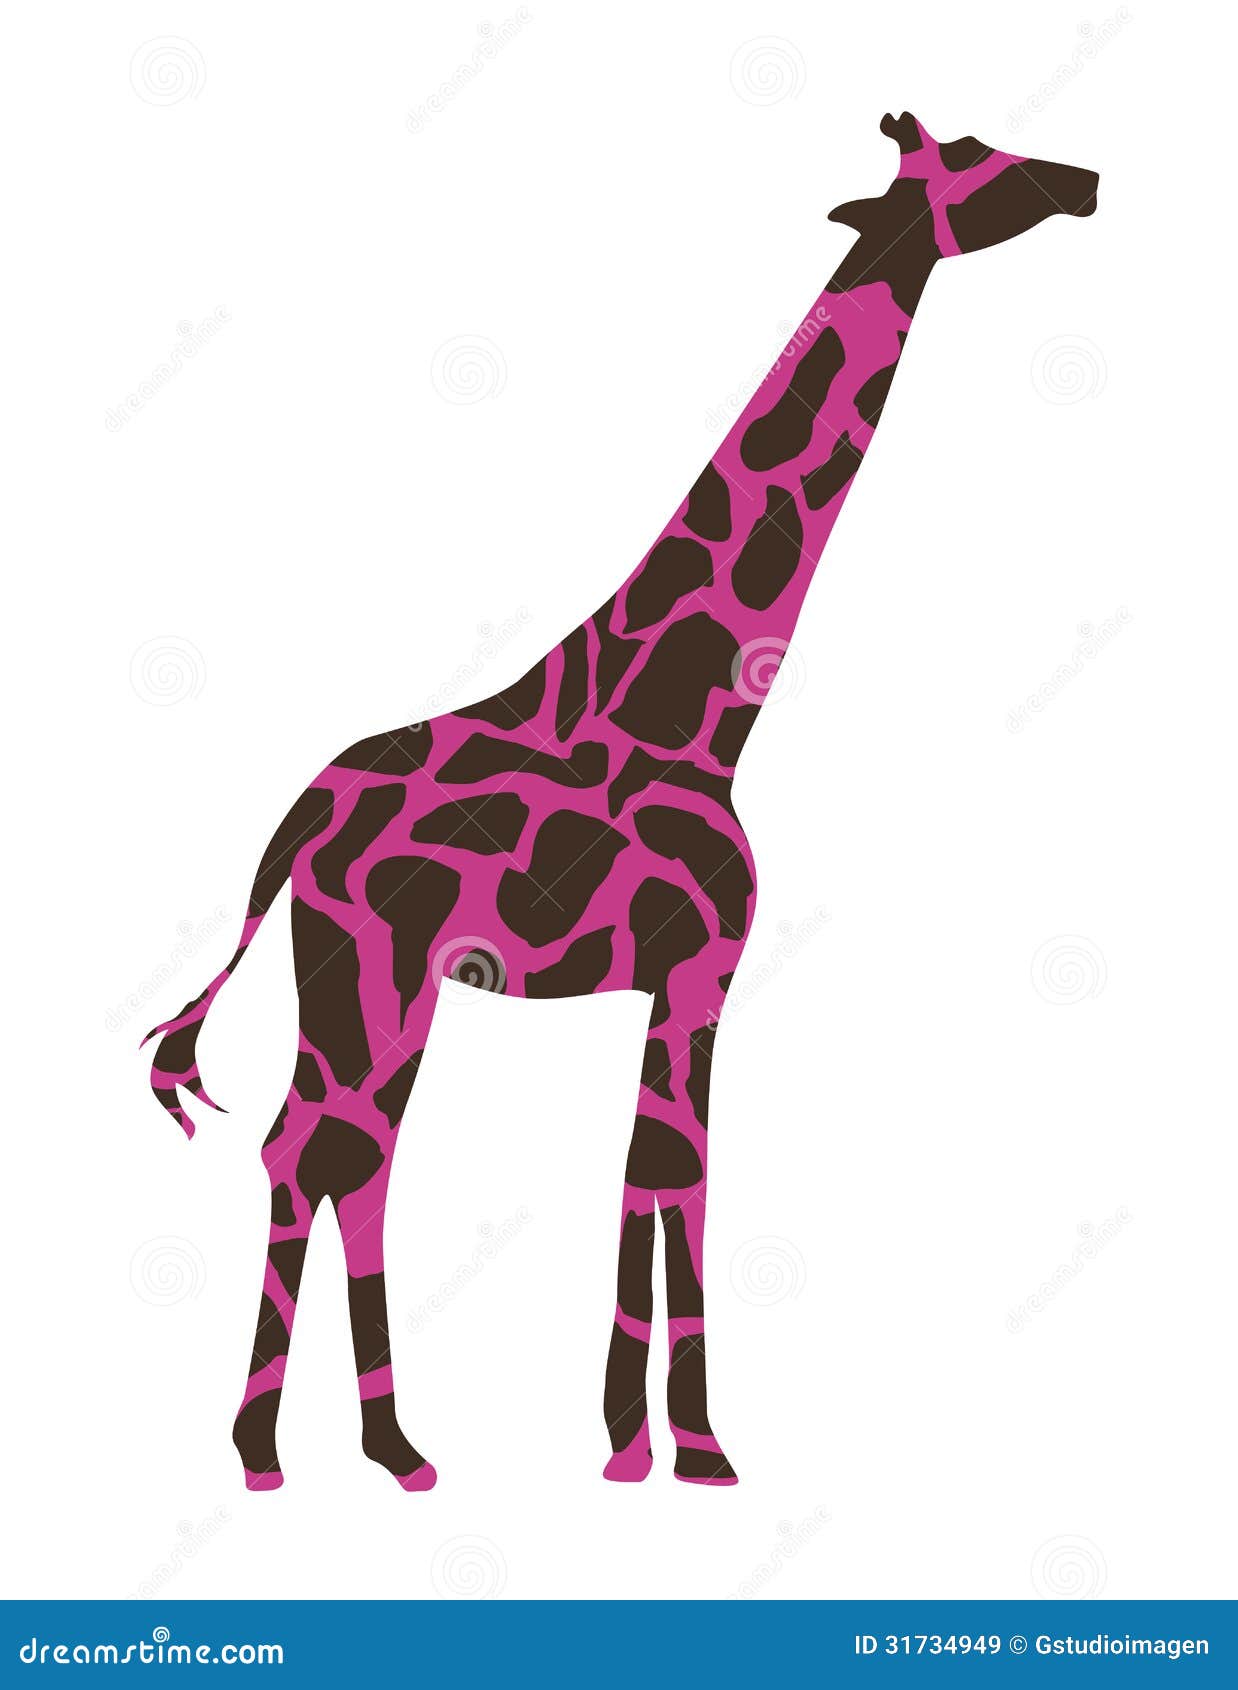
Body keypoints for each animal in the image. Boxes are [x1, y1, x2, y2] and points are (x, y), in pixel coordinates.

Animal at [145, 114, 1098, 1491]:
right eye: (974, 154)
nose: (1084, 182)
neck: (698, 716)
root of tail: (297, 819)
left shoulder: (667, 980)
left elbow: (647, 1172)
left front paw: (627, 1440)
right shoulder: (704, 968)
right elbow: (679, 1174)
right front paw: (693, 1447)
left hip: (374, 988)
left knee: (338, 1155)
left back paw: (379, 1445)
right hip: (371, 977)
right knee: (324, 1151)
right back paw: (282, 1449)